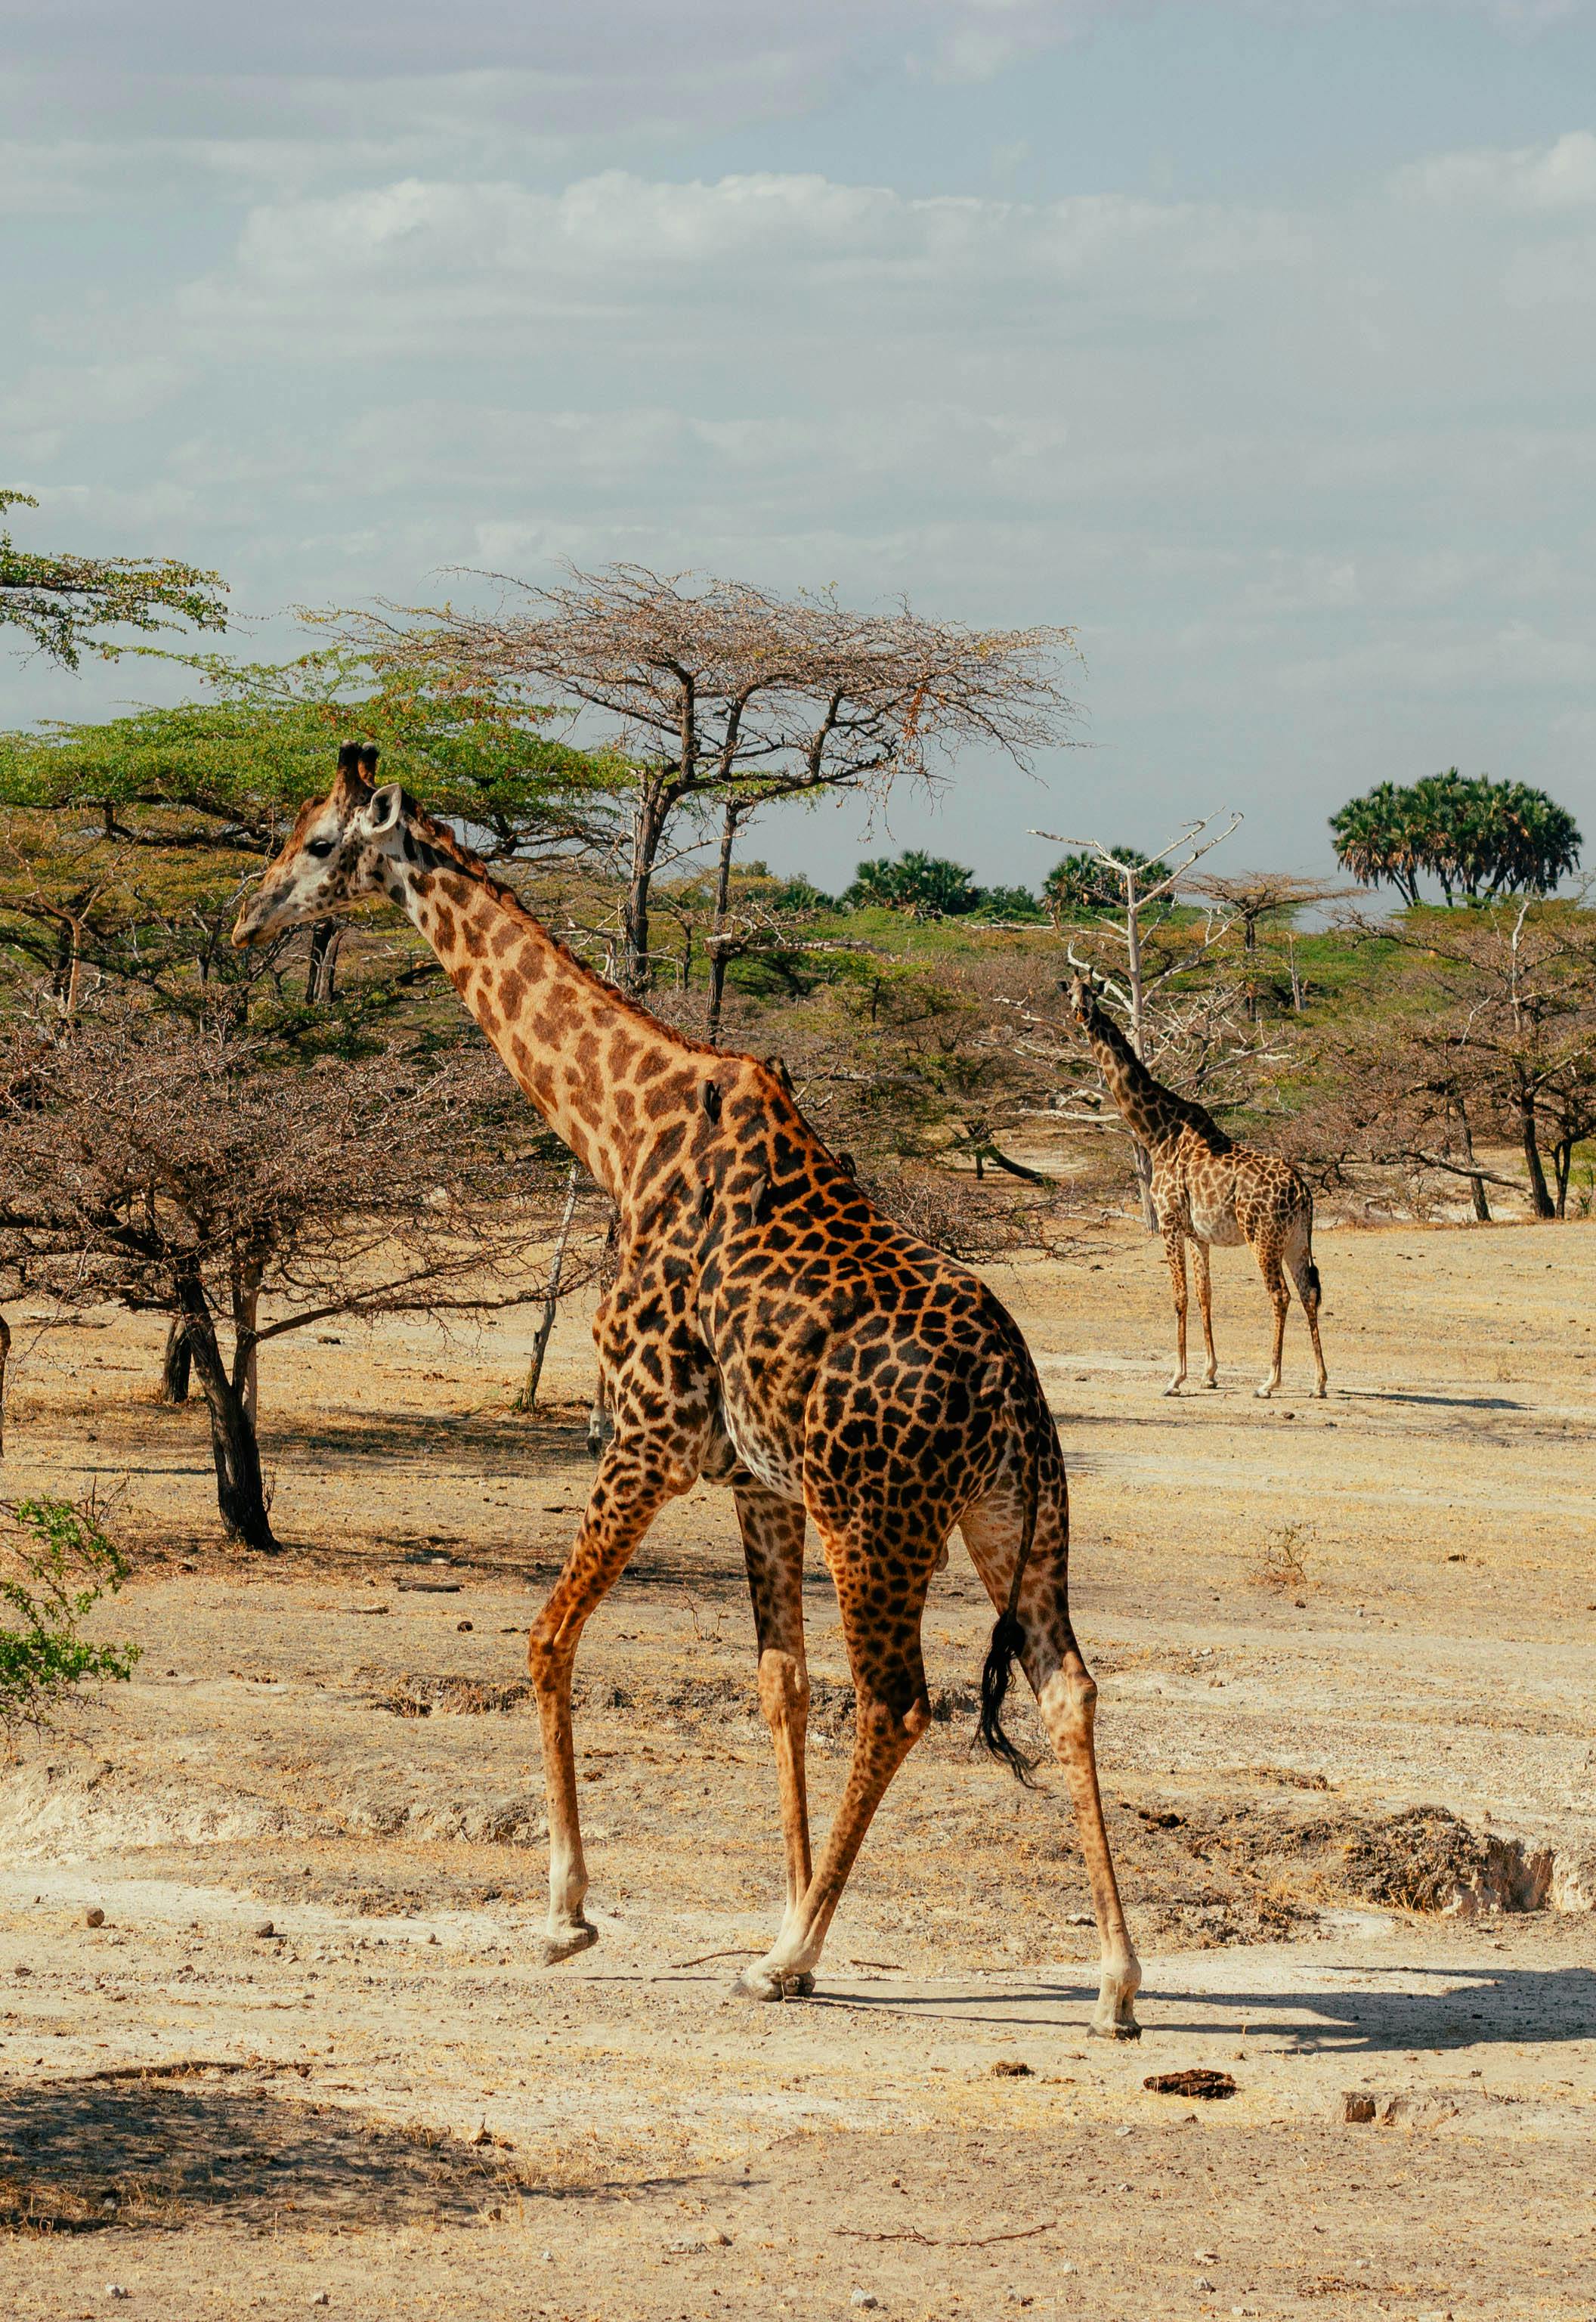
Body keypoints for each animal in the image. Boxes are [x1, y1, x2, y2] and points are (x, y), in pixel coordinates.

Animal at [231, 745, 1143, 2037]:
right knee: (1064, 1685)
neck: (622, 1132)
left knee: (899, 1703)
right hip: (1015, 1512)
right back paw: (1113, 1981)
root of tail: (1007, 1388)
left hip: (879, 1522)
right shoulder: (756, 1483)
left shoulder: (645, 1436)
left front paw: (571, 1916)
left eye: (317, 843)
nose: (246, 916)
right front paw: (782, 1915)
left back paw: (790, 1957)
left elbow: (547, 1638)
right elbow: (779, 1684)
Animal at [1066, 972, 1327, 1400]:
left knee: (1280, 1294)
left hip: (1263, 1237)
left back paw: (1269, 1382)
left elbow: (1179, 1296)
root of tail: (1303, 1192)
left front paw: (1176, 1378)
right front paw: (1209, 1373)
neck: (1157, 1133)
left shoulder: (1170, 1222)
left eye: (1091, 993)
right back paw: (1320, 1382)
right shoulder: (1197, 1235)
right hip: (1296, 1239)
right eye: (1070, 993)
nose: (1082, 1014)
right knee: (1309, 1292)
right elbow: (1205, 1295)